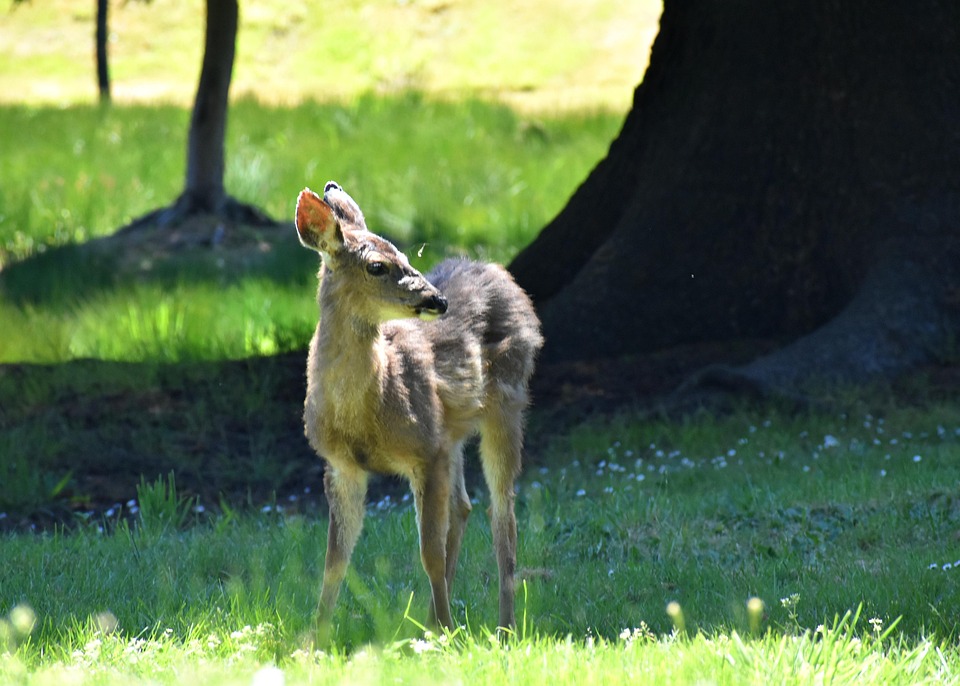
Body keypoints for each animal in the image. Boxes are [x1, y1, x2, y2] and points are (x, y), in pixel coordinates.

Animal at [295, 182, 543, 633]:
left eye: (406, 255)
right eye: (376, 265)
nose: (437, 299)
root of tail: (498, 271)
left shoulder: (424, 452)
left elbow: (429, 554)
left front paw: (447, 630)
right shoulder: (341, 465)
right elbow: (334, 563)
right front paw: (314, 639)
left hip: (508, 403)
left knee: (503, 515)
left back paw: (502, 628)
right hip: (452, 432)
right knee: (463, 506)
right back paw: (431, 625)